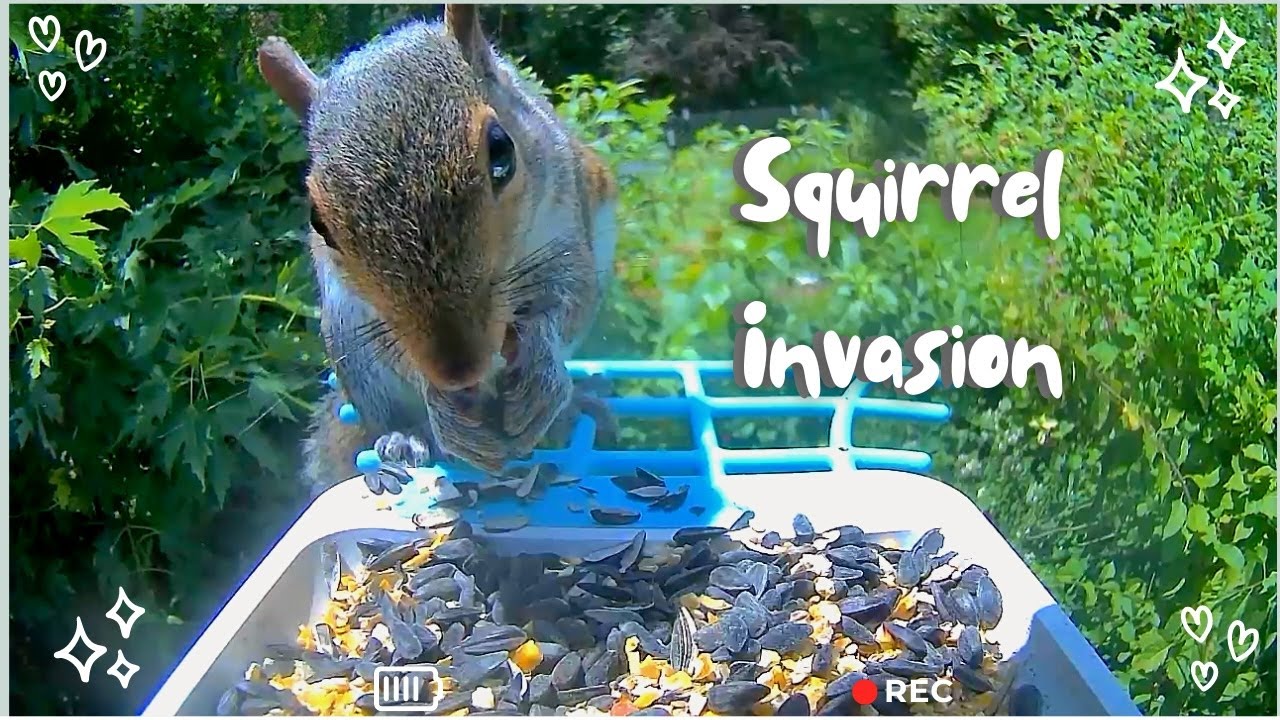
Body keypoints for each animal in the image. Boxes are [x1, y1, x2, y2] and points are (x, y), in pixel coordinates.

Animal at [258, 5, 618, 495]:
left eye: (501, 151)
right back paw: (403, 439)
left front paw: (542, 373)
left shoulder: (565, 231)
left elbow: (567, 302)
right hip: (349, 334)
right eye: (318, 220)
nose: (457, 371)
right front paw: (440, 405)